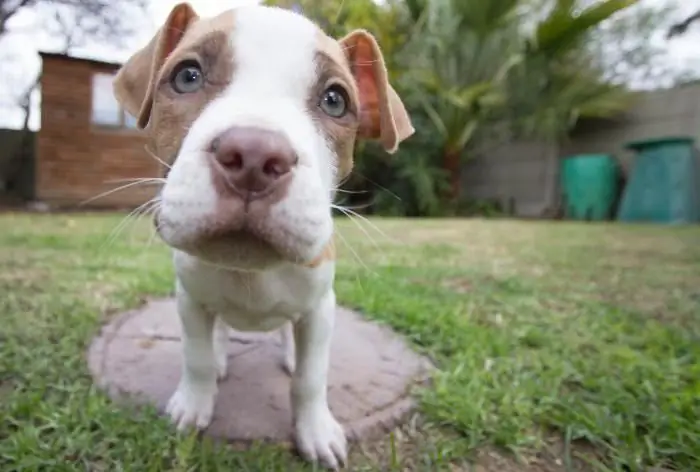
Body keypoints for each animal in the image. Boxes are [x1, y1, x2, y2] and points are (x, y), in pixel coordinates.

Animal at [112, 2, 412, 468]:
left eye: (335, 100)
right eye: (187, 76)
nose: (254, 155)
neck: (250, 271)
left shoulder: (320, 308)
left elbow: (311, 377)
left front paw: (315, 431)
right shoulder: (189, 299)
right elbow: (196, 356)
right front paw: (193, 405)